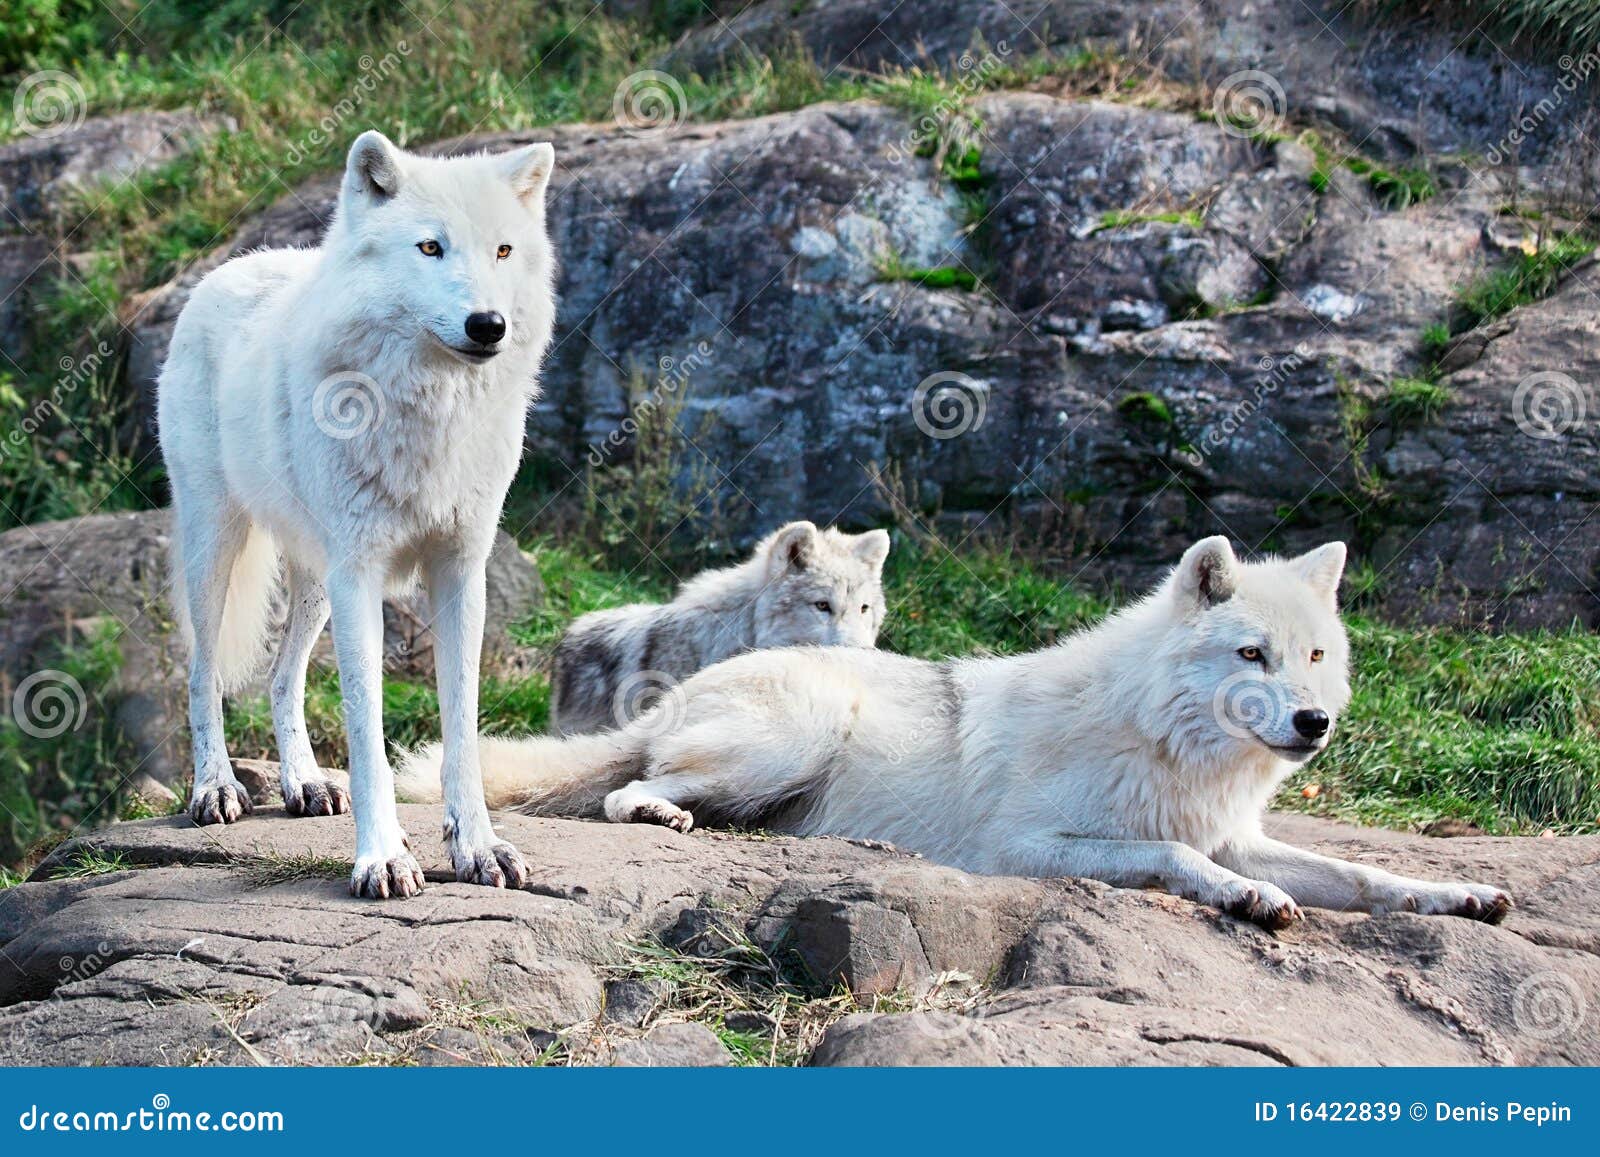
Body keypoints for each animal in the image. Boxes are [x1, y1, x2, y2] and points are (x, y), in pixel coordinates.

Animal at [158, 130, 558, 899]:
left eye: (502, 251)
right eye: (429, 247)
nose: (488, 325)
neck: (428, 412)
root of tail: (234, 266)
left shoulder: (459, 571)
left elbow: (462, 728)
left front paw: (479, 848)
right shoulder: (361, 575)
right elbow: (368, 735)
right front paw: (383, 858)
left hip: (317, 579)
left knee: (281, 677)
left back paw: (305, 783)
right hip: (218, 546)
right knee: (201, 674)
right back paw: (215, 788)